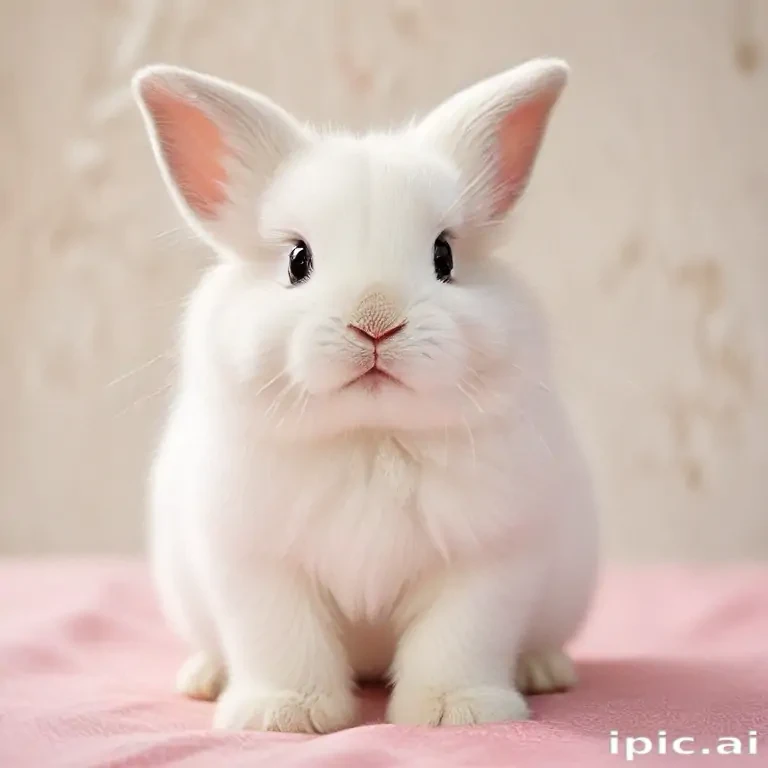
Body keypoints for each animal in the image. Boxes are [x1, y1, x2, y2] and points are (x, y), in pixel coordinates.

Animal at [132, 56, 598, 733]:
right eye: (297, 260)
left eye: (444, 255)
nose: (376, 320)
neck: (371, 438)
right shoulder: (257, 568)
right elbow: (282, 641)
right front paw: (284, 714)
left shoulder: (485, 563)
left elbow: (456, 642)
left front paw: (455, 712)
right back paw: (204, 678)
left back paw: (544, 670)